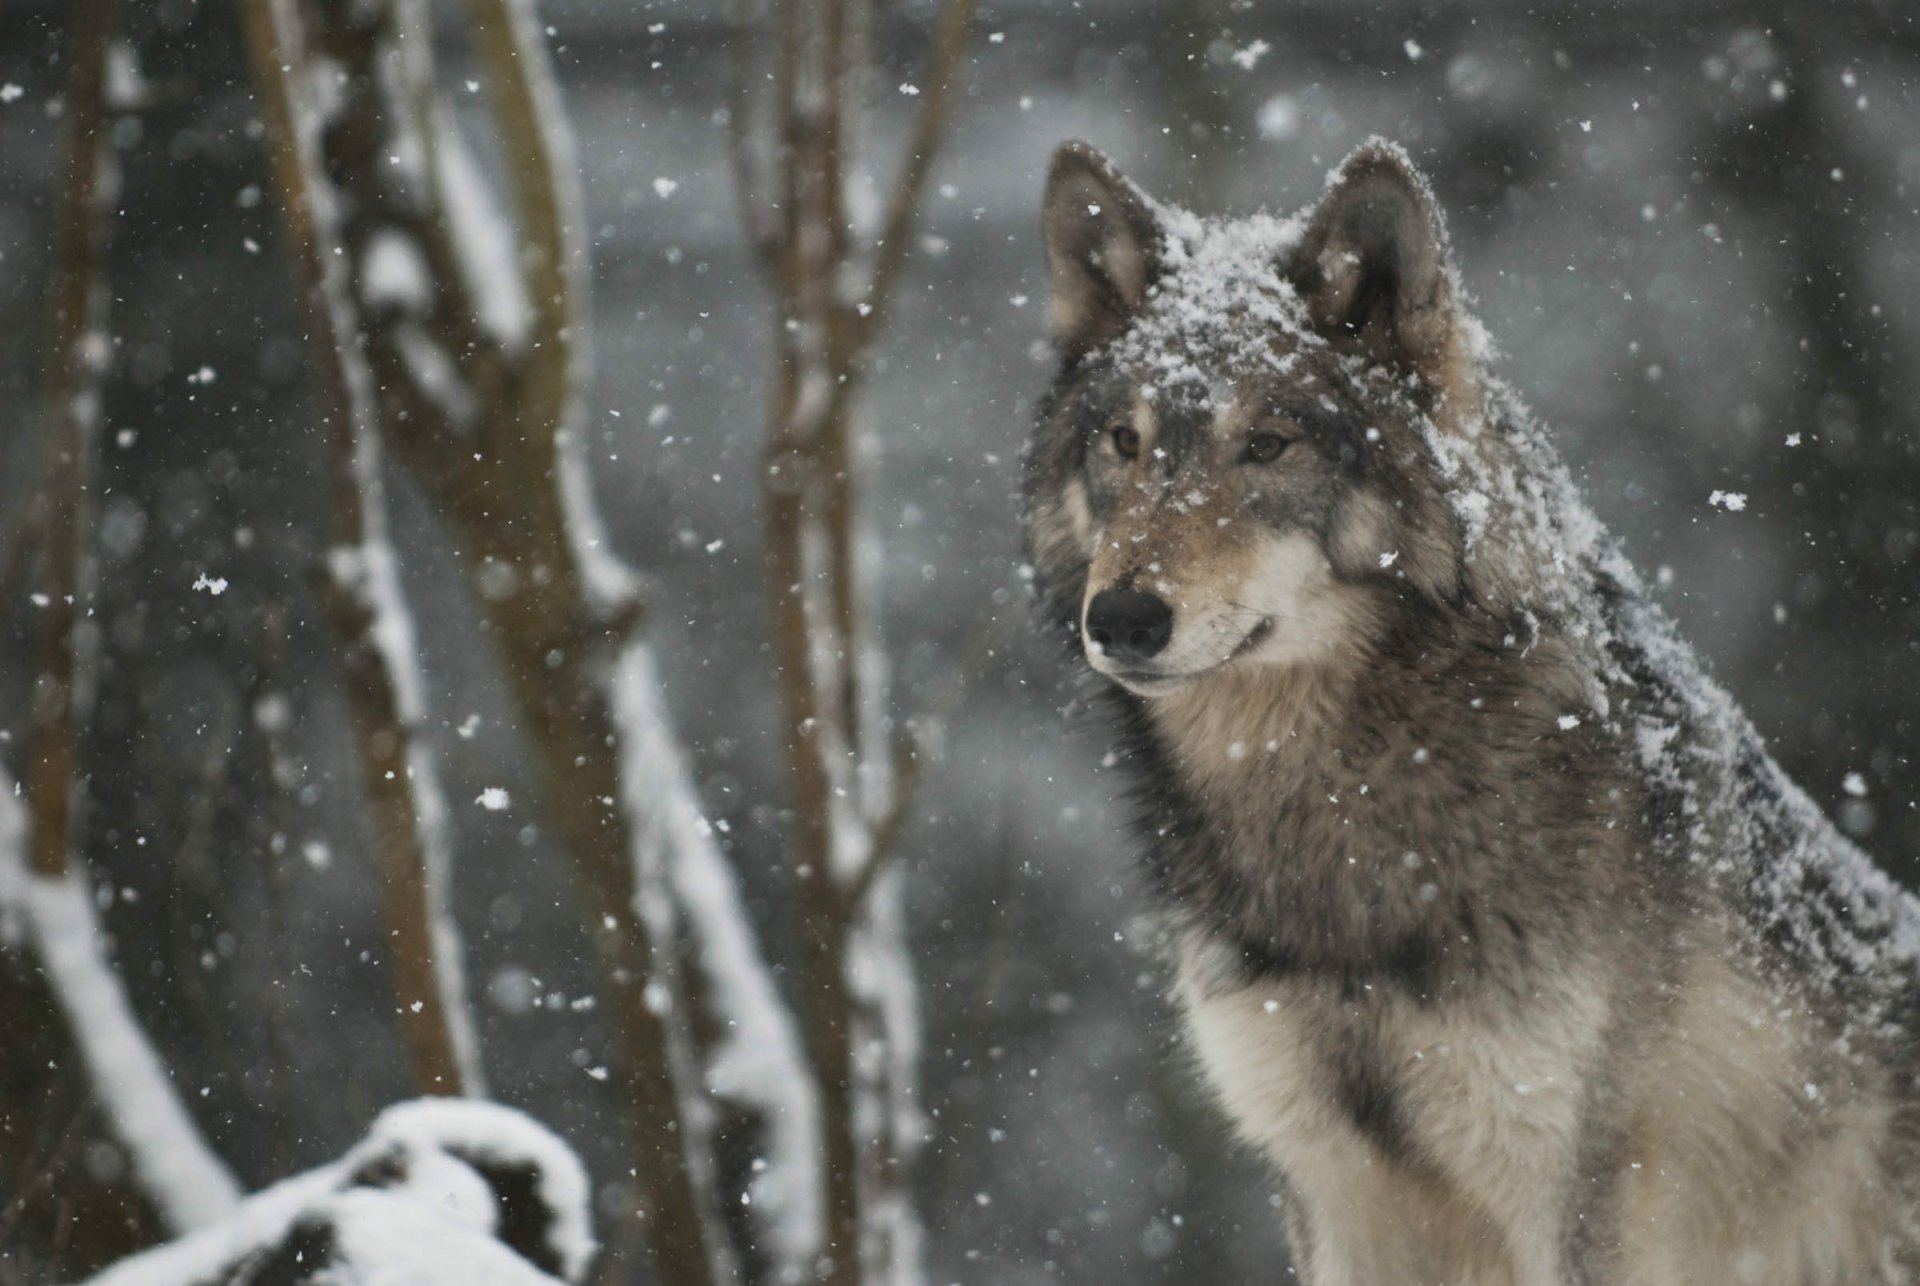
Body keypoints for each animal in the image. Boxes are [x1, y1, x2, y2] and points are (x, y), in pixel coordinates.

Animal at [1023, 137, 1920, 1284]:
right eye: (1124, 442)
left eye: (1268, 444)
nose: (1124, 617)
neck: (1343, 817)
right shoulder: (1332, 1196)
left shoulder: (1575, 1195)